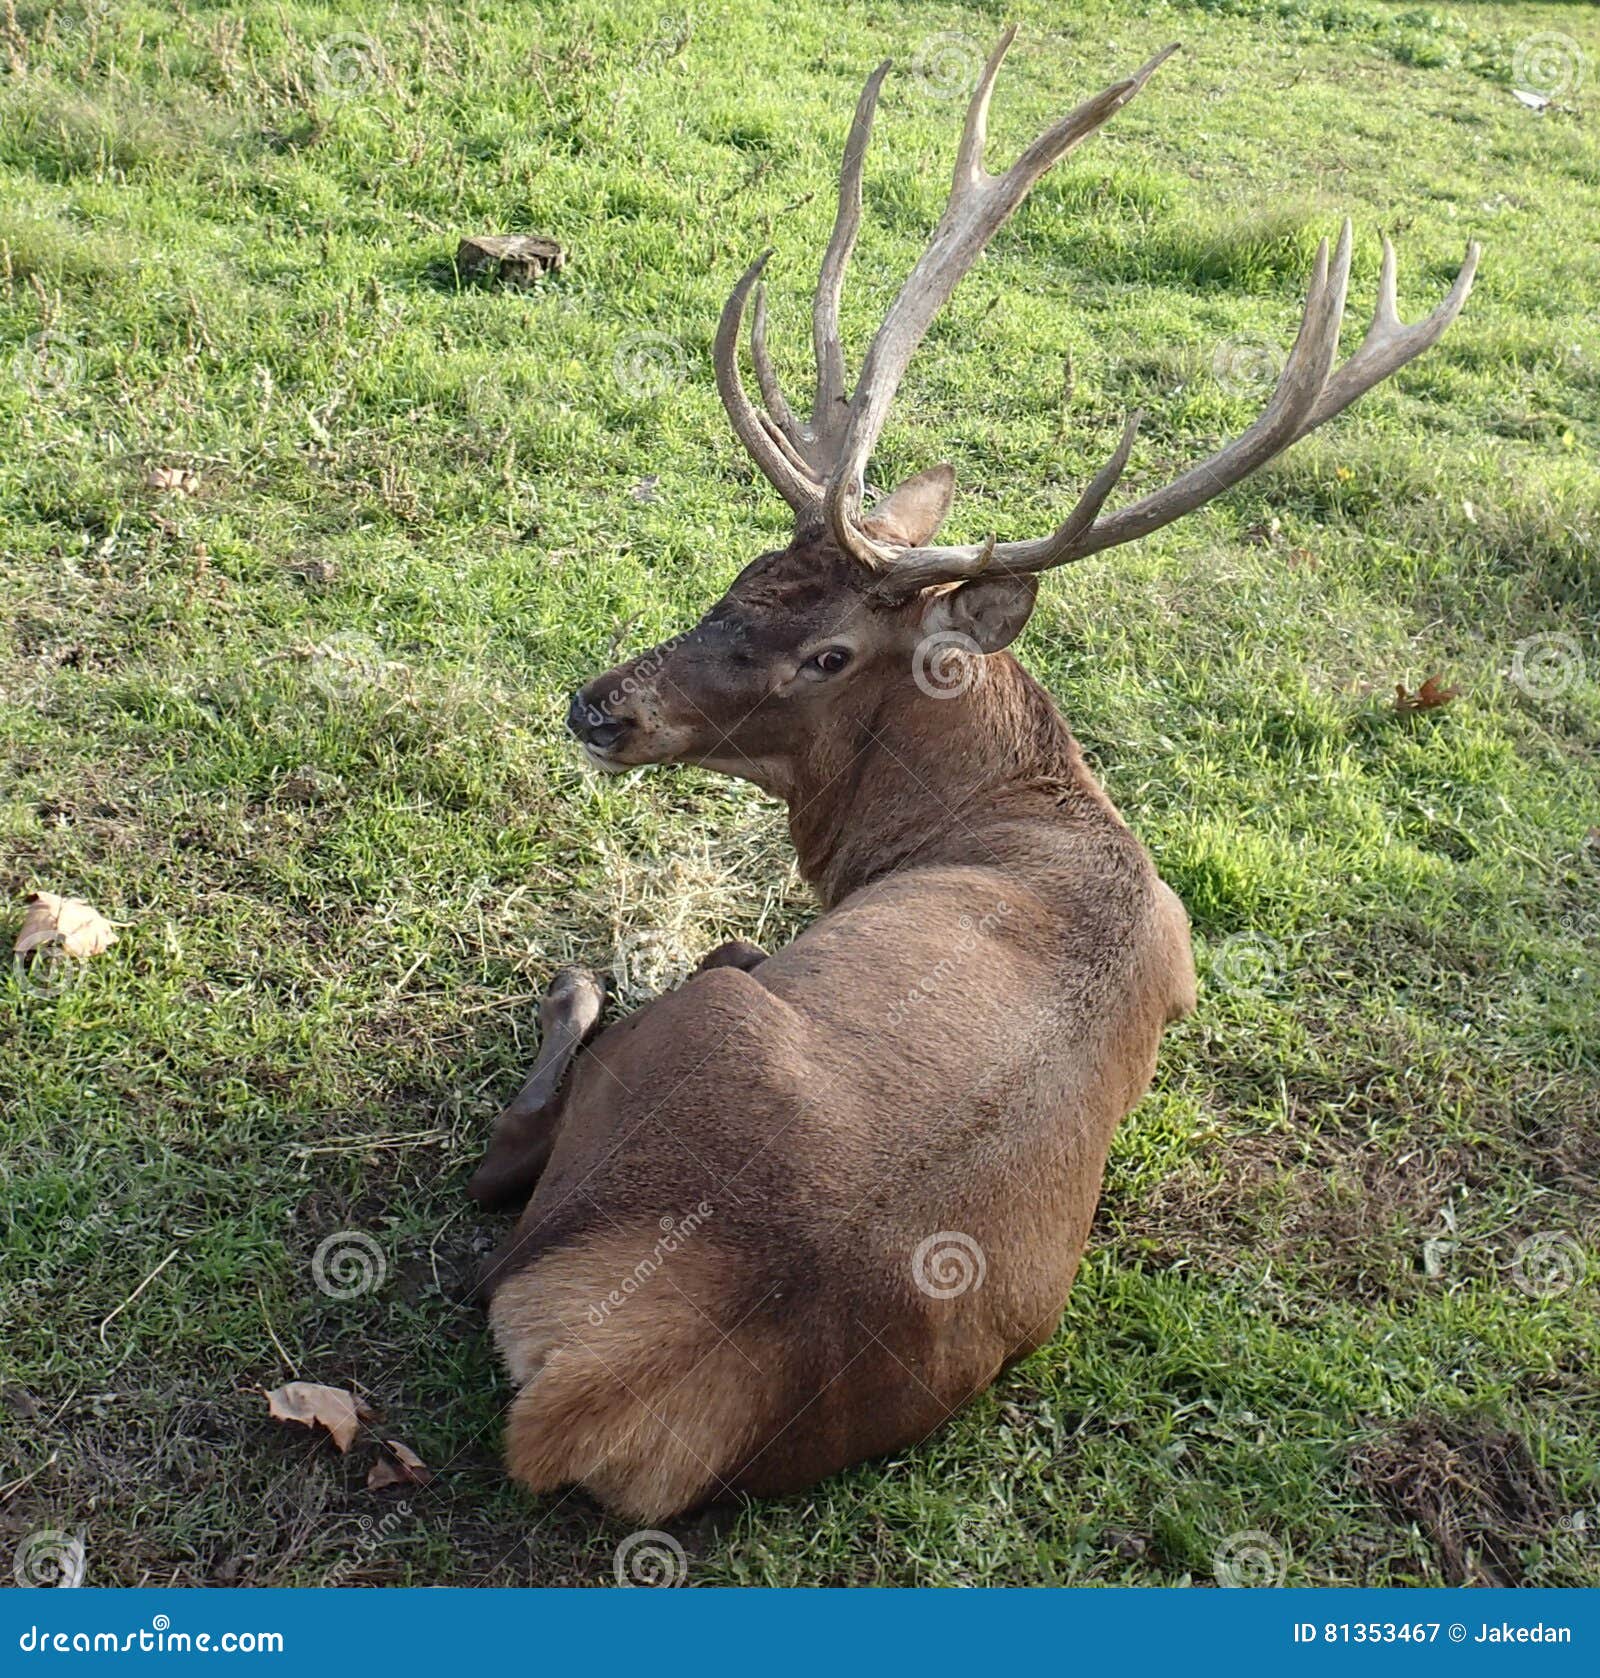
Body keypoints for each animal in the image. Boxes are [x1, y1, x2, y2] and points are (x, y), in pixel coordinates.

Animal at [467, 26, 1477, 1524]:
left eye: (826, 651)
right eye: (739, 575)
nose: (601, 705)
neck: (1002, 811)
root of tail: (603, 1386)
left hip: (705, 1015)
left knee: (510, 1158)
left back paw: (576, 987)